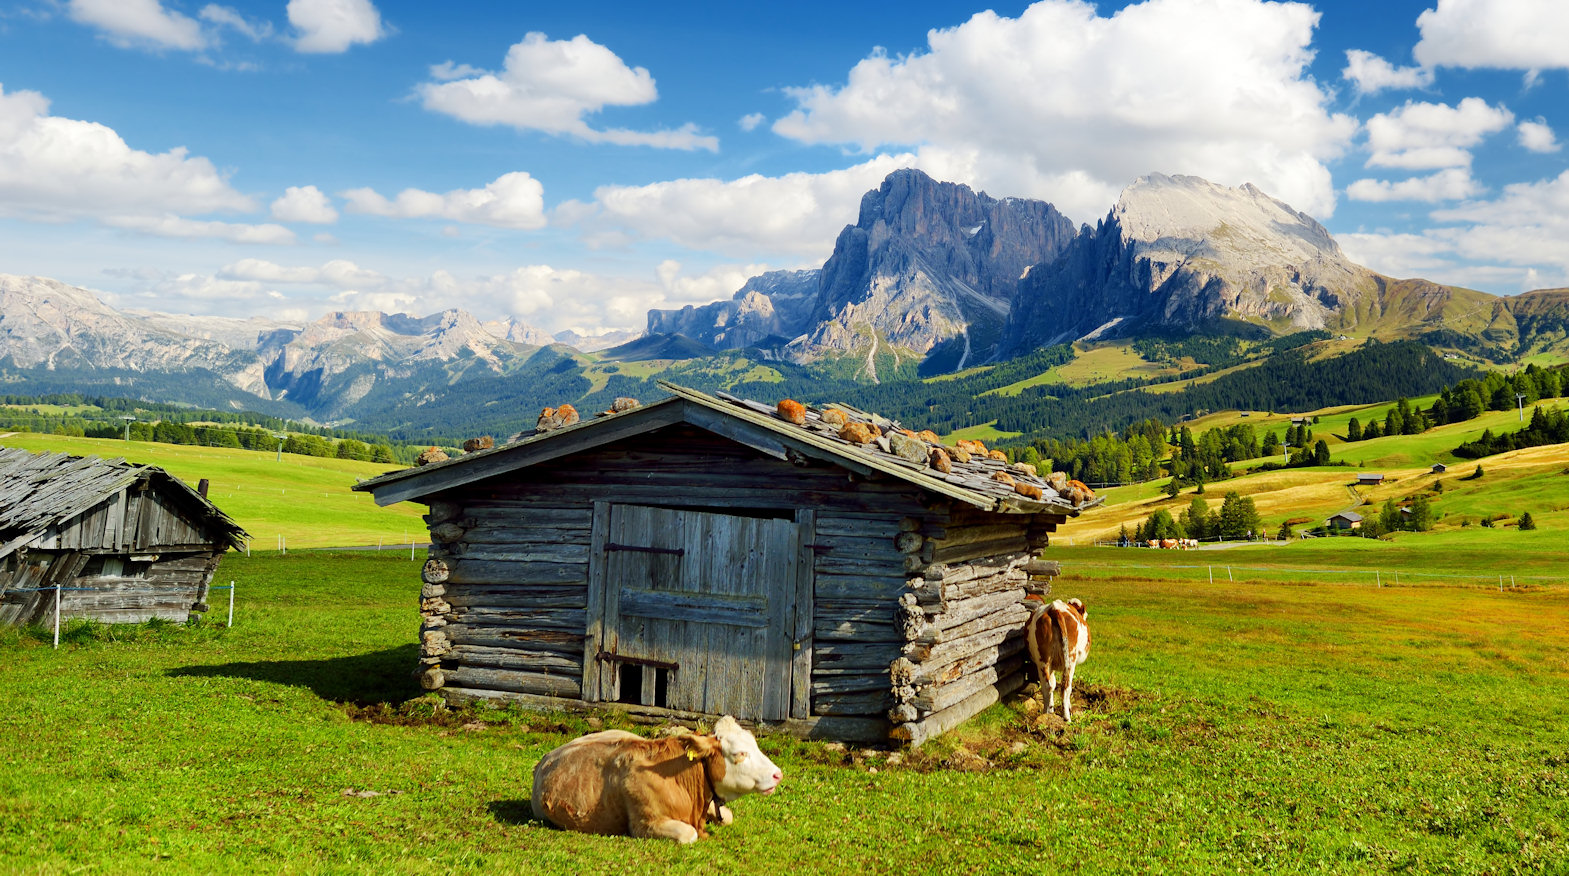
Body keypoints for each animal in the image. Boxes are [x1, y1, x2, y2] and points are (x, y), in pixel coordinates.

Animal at [530, 715, 782, 844]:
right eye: (740, 753)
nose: (777, 774)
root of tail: (546, 758)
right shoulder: (645, 824)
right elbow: (688, 834)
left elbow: (727, 816)